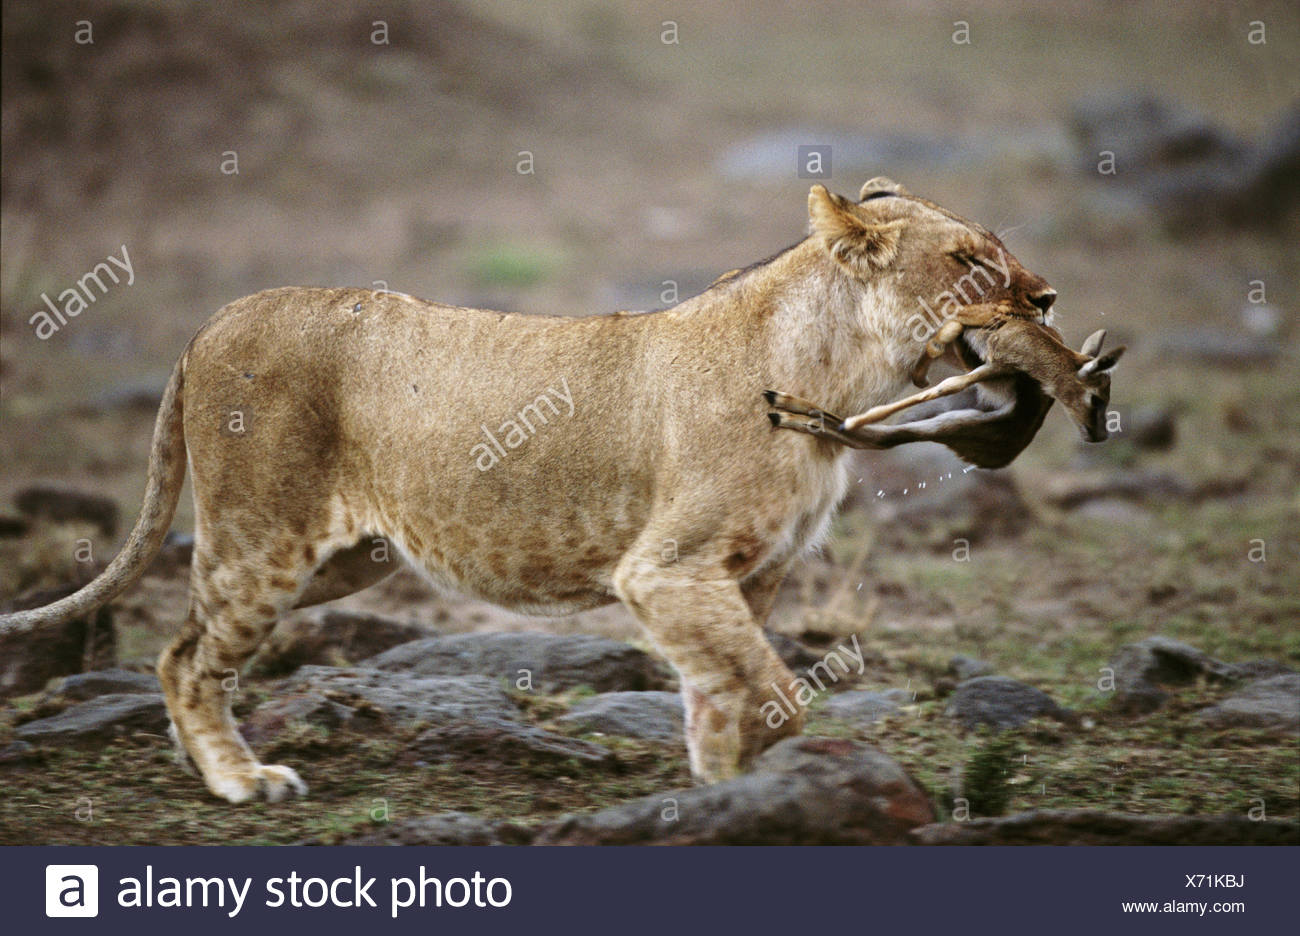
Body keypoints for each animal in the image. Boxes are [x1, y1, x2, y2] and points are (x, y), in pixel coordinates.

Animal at [1, 178, 1066, 802]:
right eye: (969, 260)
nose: (1049, 300)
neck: (839, 378)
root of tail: (213, 319)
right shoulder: (666, 570)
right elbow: (773, 694)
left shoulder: (740, 578)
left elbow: (724, 693)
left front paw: (725, 794)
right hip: (263, 538)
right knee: (186, 655)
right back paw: (237, 779)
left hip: (344, 558)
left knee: (185, 650)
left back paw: (198, 759)